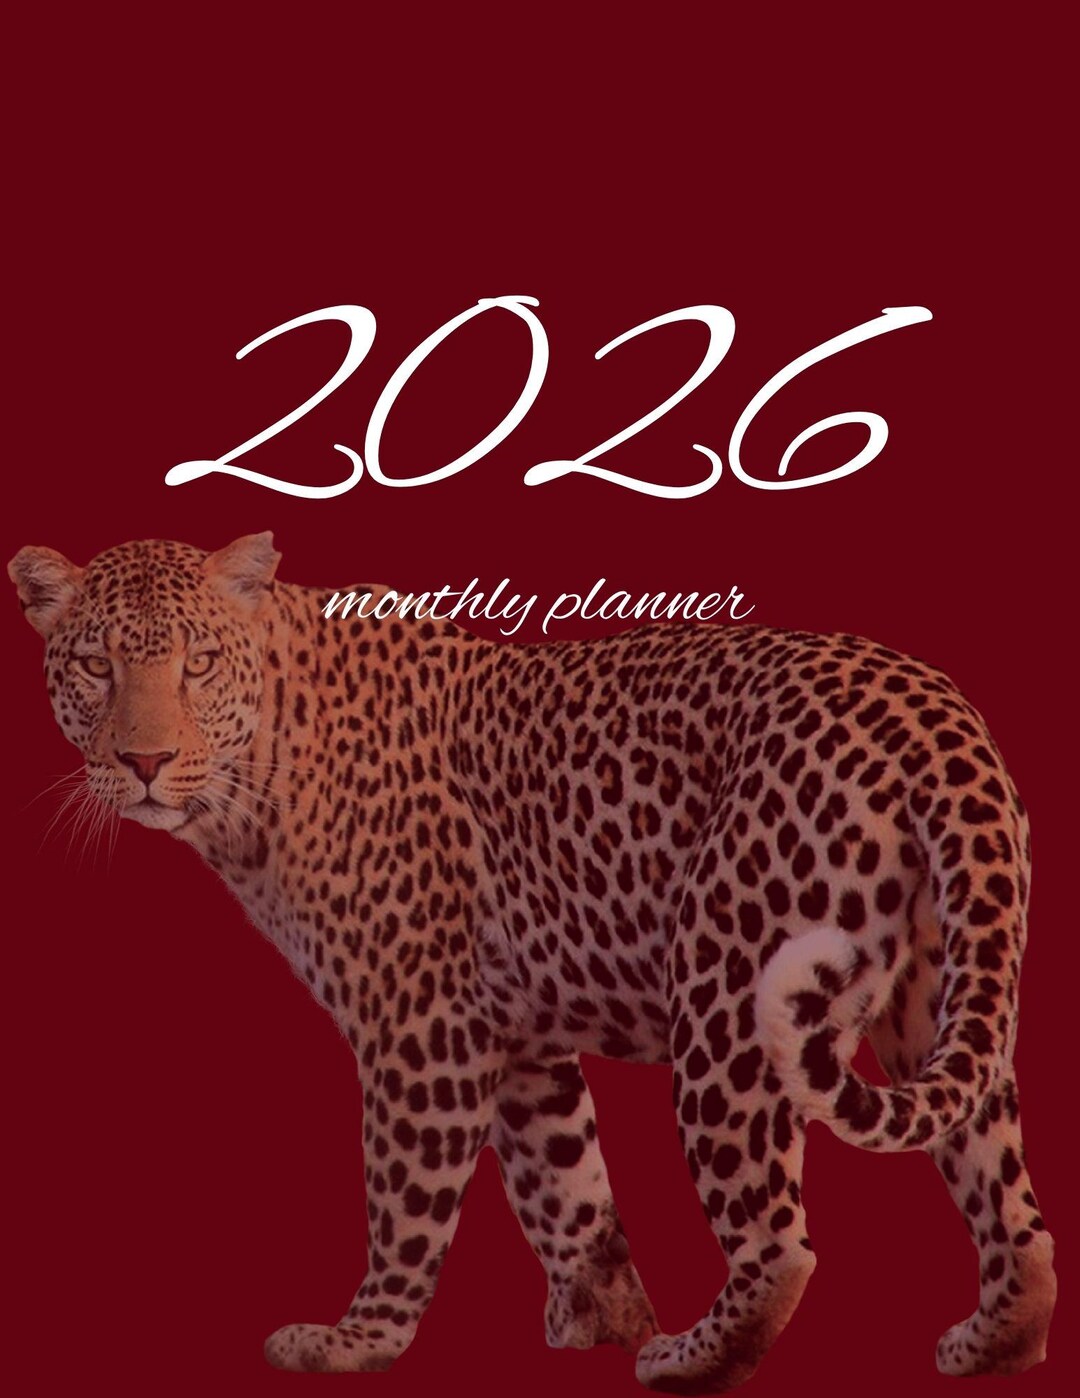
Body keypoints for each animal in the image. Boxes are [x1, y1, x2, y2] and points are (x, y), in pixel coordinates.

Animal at [9, 532, 1057, 1392]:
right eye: (97, 666)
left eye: (197, 665)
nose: (145, 763)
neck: (258, 770)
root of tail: (935, 713)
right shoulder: (515, 1036)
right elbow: (567, 1187)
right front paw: (602, 1317)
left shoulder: (422, 1025)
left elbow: (406, 1197)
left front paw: (359, 1341)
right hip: (940, 991)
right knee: (1010, 1201)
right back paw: (994, 1341)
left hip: (728, 992)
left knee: (779, 1242)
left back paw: (689, 1359)